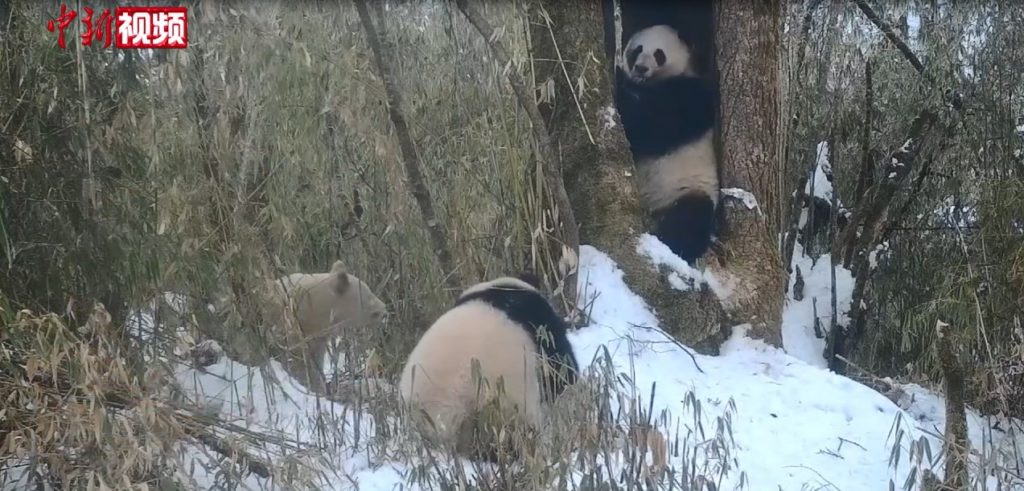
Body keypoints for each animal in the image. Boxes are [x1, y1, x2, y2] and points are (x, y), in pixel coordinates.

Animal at [264, 260, 387, 391]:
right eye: (369, 295)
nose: (385, 310)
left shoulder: (318, 336)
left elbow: (317, 359)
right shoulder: (295, 325)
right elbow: (297, 359)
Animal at [614, 24, 720, 265]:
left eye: (659, 54)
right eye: (637, 49)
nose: (641, 68)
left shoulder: (692, 96)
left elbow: (652, 126)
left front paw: (619, 82)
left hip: (689, 188)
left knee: (690, 218)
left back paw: (671, 246)